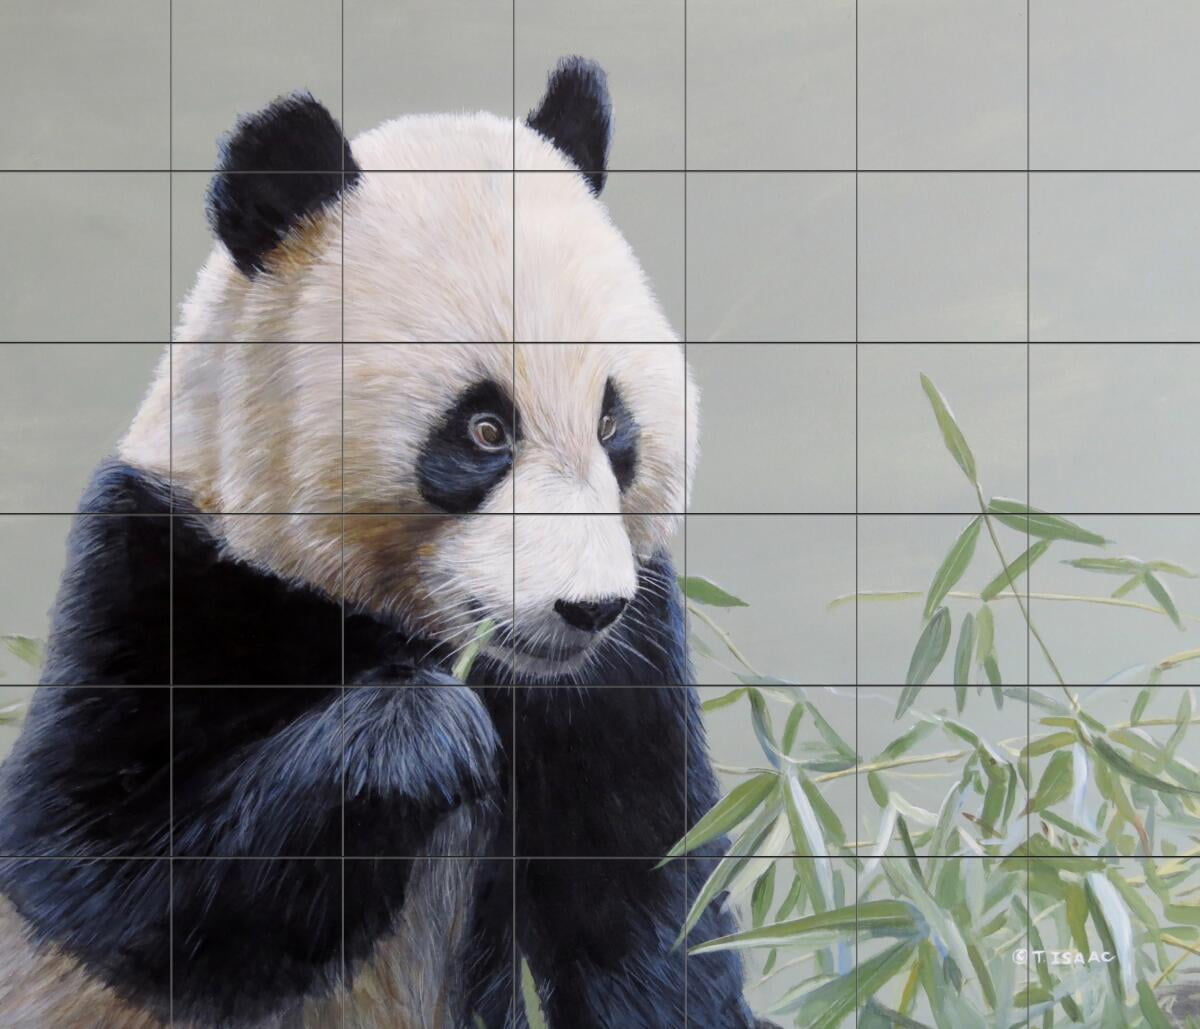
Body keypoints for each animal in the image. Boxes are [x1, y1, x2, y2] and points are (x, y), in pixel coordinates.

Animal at [0, 59, 771, 1029]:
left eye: (612, 422)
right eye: (484, 429)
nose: (585, 608)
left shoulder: (623, 670)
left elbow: (645, 918)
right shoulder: (164, 565)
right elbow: (101, 865)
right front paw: (428, 734)